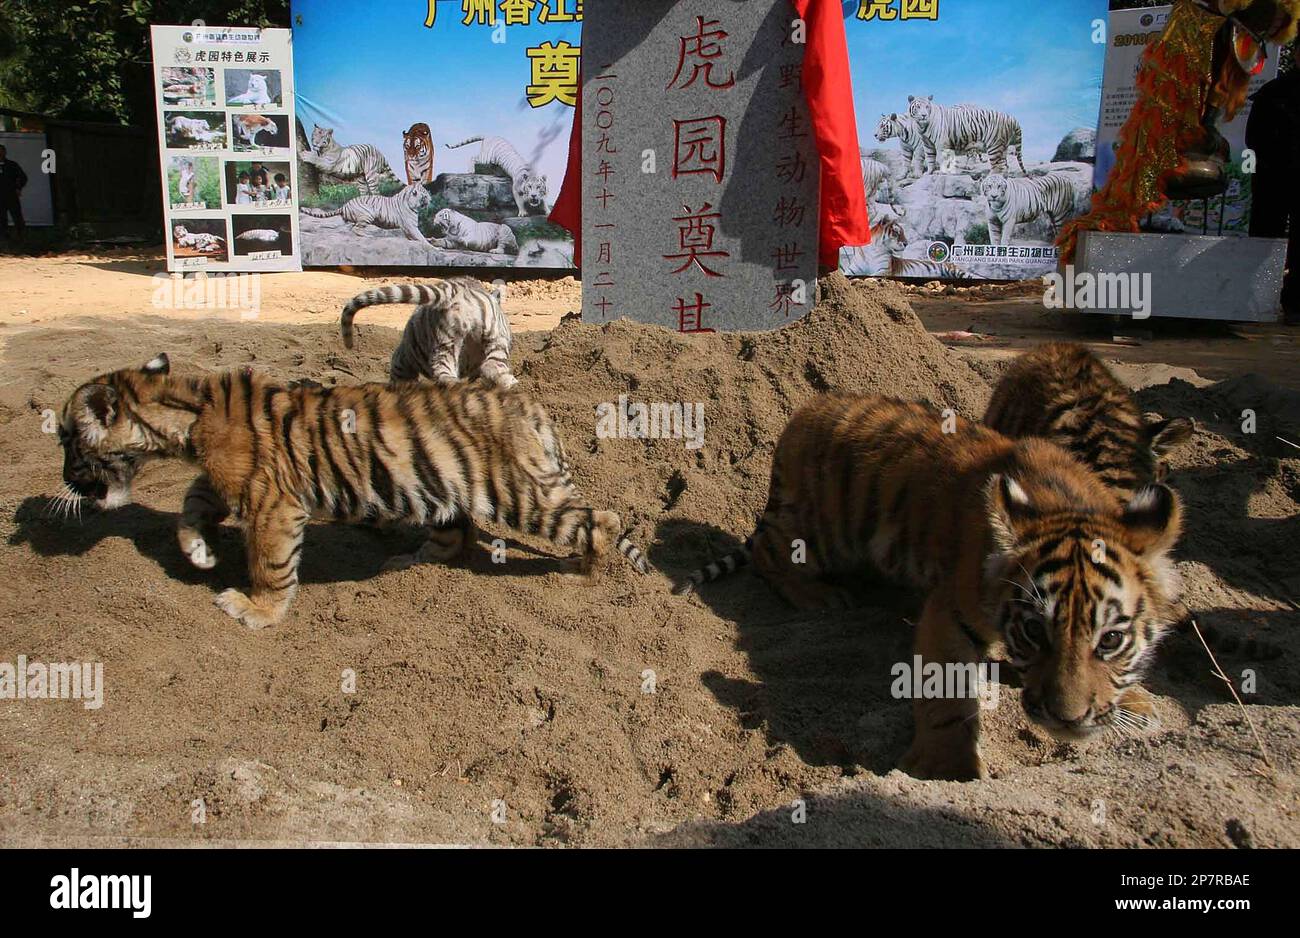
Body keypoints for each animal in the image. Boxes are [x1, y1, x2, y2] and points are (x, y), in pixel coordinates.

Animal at [54, 354, 652, 629]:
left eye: (65, 440)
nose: (65, 483)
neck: (185, 416)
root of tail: (528, 403)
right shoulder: (229, 481)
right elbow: (191, 502)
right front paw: (198, 552)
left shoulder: (272, 504)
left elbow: (269, 564)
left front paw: (256, 610)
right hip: (447, 486)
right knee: (453, 537)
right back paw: (406, 563)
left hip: (520, 492)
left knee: (600, 519)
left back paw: (581, 573)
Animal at [301, 184, 432, 244]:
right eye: (425, 195)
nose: (430, 200)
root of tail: (345, 205)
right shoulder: (410, 225)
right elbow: (420, 236)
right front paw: (431, 245)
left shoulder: (407, 227)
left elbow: (414, 236)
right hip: (368, 214)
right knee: (356, 229)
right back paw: (368, 236)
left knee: (343, 226)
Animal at [673, 394, 1183, 781]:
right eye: (1035, 631)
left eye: (1111, 639)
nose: (1067, 720)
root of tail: (803, 412)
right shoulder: (952, 611)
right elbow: (948, 695)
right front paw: (947, 769)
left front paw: (1135, 699)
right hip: (825, 532)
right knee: (768, 554)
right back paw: (820, 597)